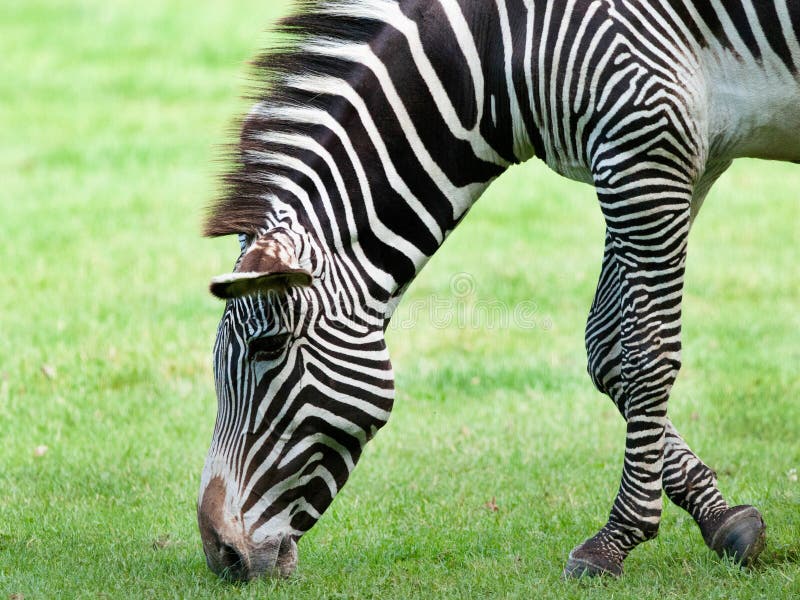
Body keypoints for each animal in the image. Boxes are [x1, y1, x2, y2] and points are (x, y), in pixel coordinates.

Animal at [197, 0, 798, 581]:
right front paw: (722, 518)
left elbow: (646, 354)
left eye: (268, 347)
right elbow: (607, 348)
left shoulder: (645, 143)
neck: (496, 52)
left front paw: (615, 539)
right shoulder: (684, 154)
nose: (220, 554)